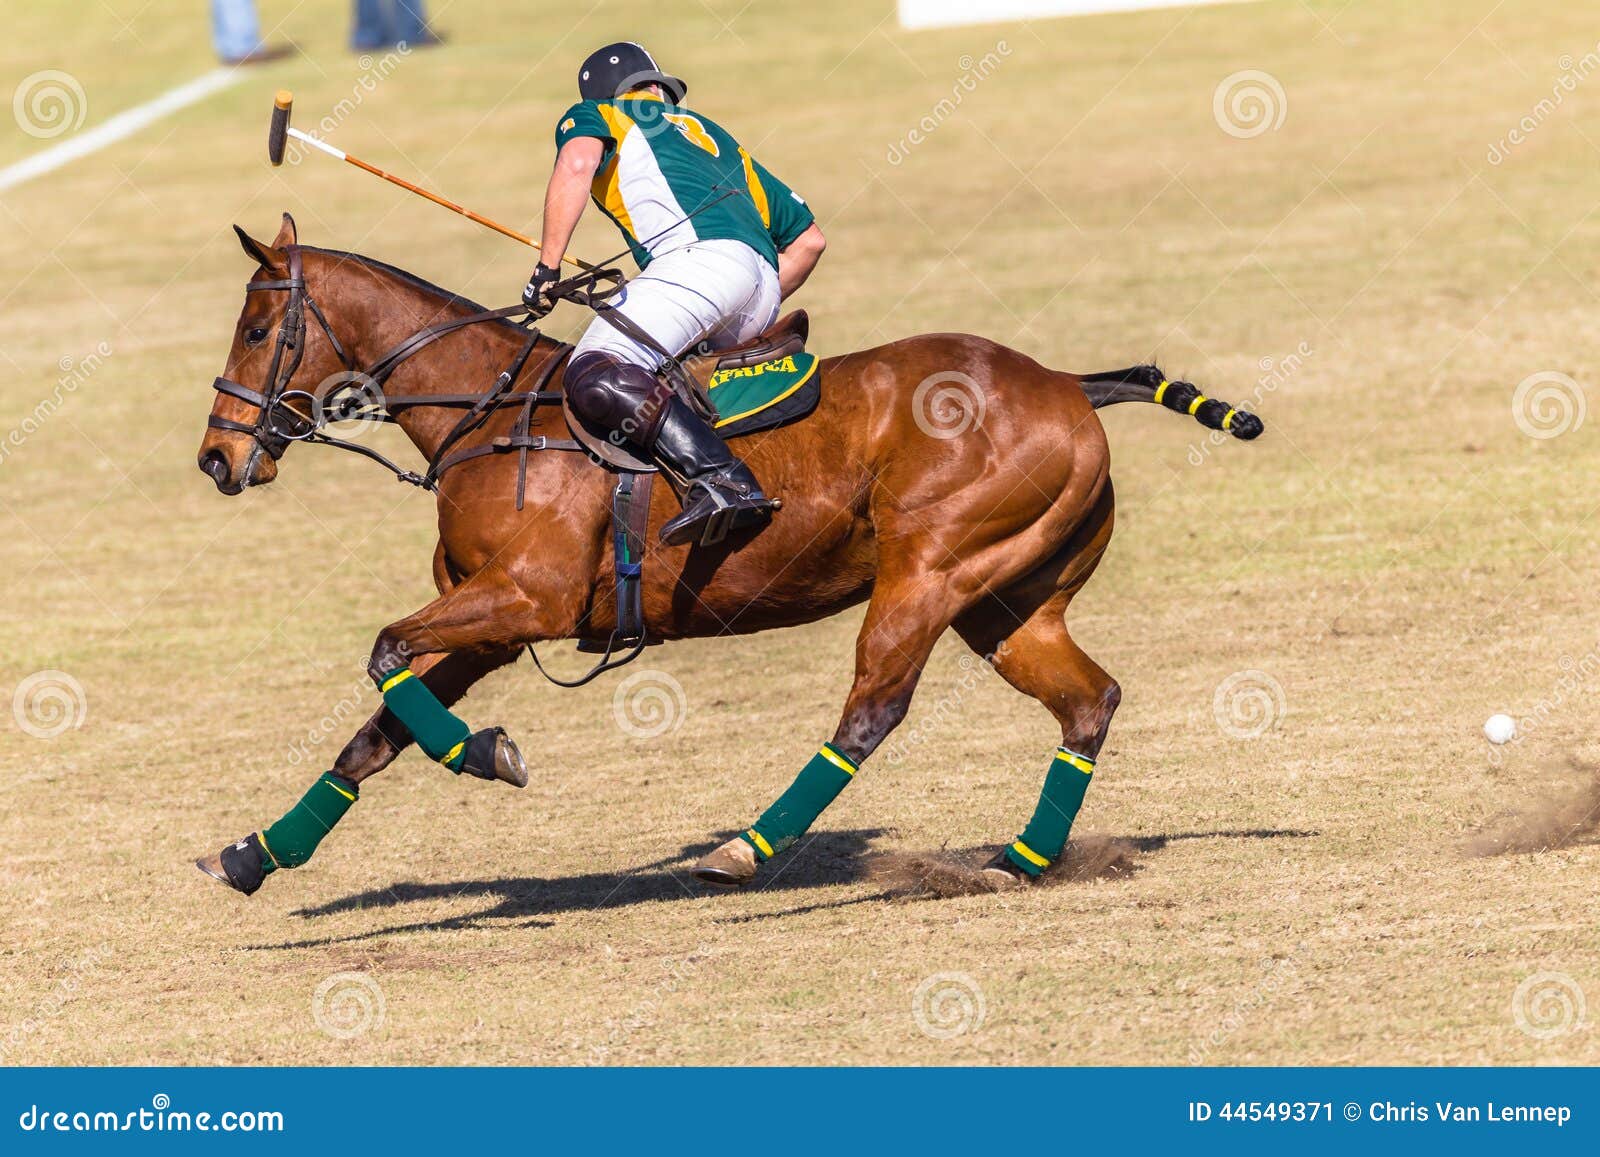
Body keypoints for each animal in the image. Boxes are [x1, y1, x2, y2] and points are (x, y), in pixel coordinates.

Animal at [194, 213, 1261, 896]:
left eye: (256, 327)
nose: (217, 458)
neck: (487, 412)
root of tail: (1070, 385)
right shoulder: (493, 624)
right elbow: (374, 733)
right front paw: (251, 854)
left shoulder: (530, 598)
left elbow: (383, 654)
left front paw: (487, 753)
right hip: (1007, 601)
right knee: (1090, 701)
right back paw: (1019, 860)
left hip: (931, 572)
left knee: (872, 711)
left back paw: (749, 846)